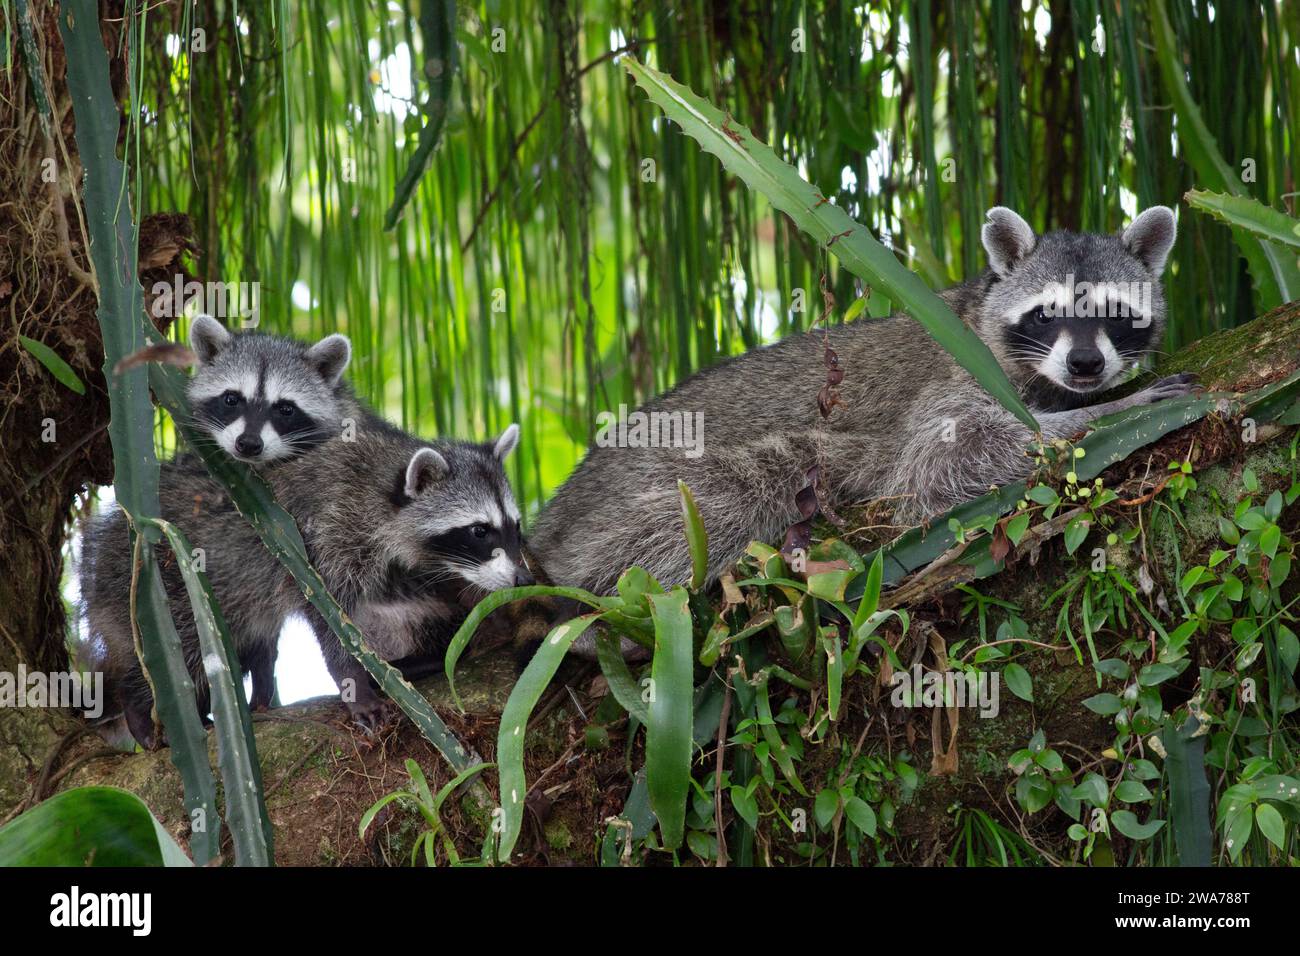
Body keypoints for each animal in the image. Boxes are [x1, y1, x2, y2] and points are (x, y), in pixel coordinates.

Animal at [530, 206, 1195, 597]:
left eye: (1115, 313)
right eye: (1048, 314)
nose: (1086, 365)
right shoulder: (958, 372)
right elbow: (943, 459)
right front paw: (1110, 414)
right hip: (641, 502)